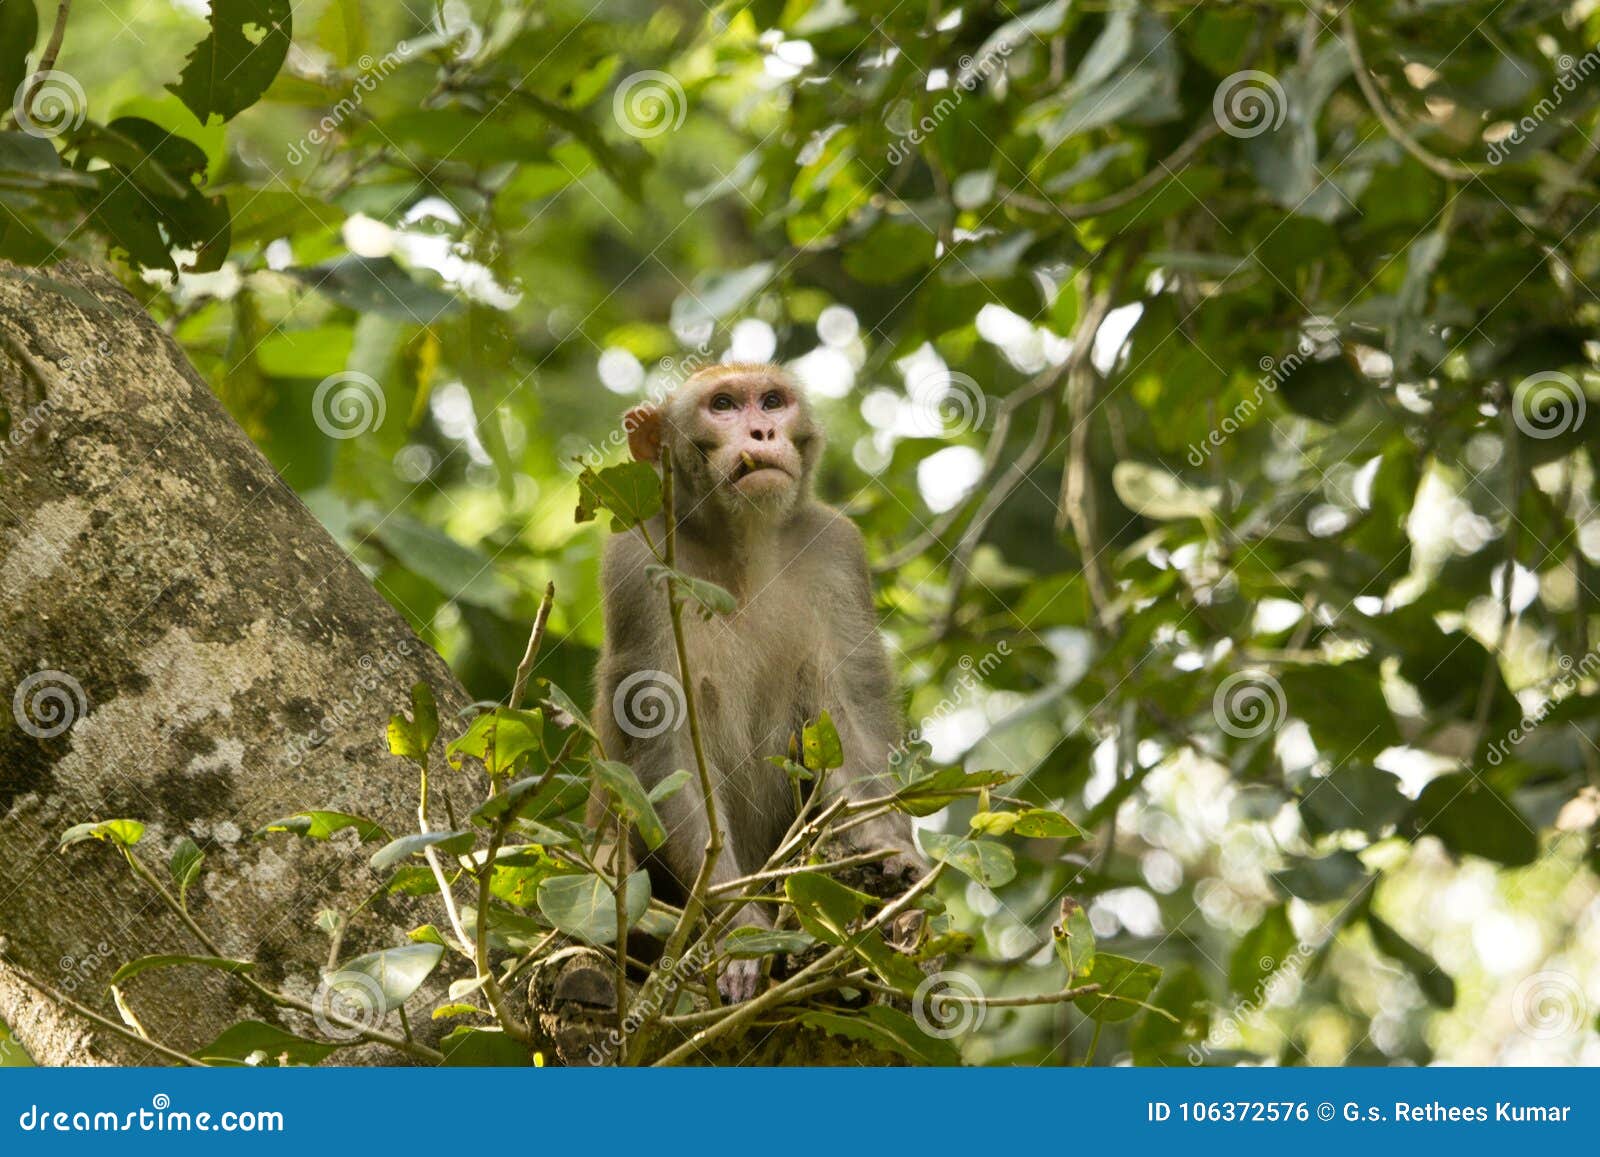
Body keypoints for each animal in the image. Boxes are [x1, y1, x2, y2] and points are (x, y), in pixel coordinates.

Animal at [591, 362, 921, 1003]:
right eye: (723, 405)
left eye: (770, 401)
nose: (763, 432)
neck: (744, 546)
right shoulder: (636, 564)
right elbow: (664, 755)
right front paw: (741, 938)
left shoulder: (837, 551)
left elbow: (851, 723)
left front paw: (892, 861)